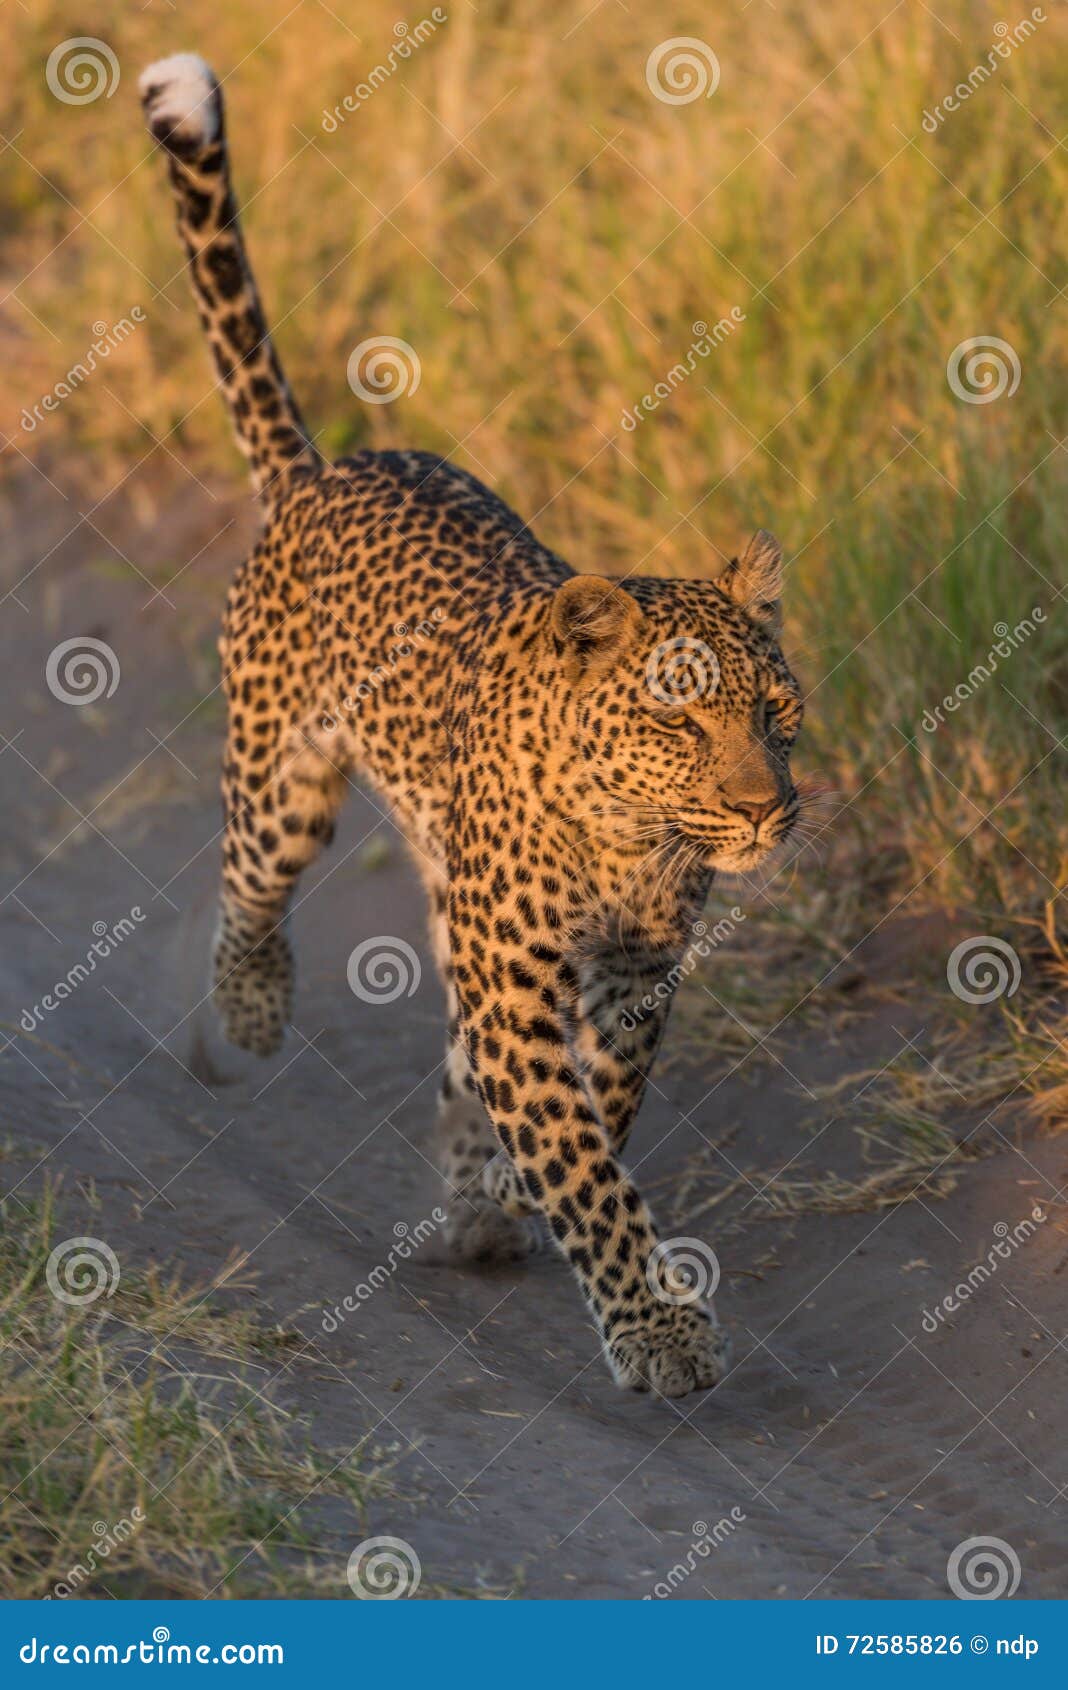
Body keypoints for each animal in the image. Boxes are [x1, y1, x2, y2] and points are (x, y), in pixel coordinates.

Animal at [139, 52, 805, 1399]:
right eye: (686, 724)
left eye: (775, 714)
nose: (767, 808)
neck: (630, 838)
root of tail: (324, 470)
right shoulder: (519, 986)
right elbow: (589, 1166)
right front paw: (656, 1328)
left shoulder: (634, 981)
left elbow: (600, 1112)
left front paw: (500, 1188)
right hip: (286, 781)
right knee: (248, 881)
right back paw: (247, 1009)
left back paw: (470, 1188)